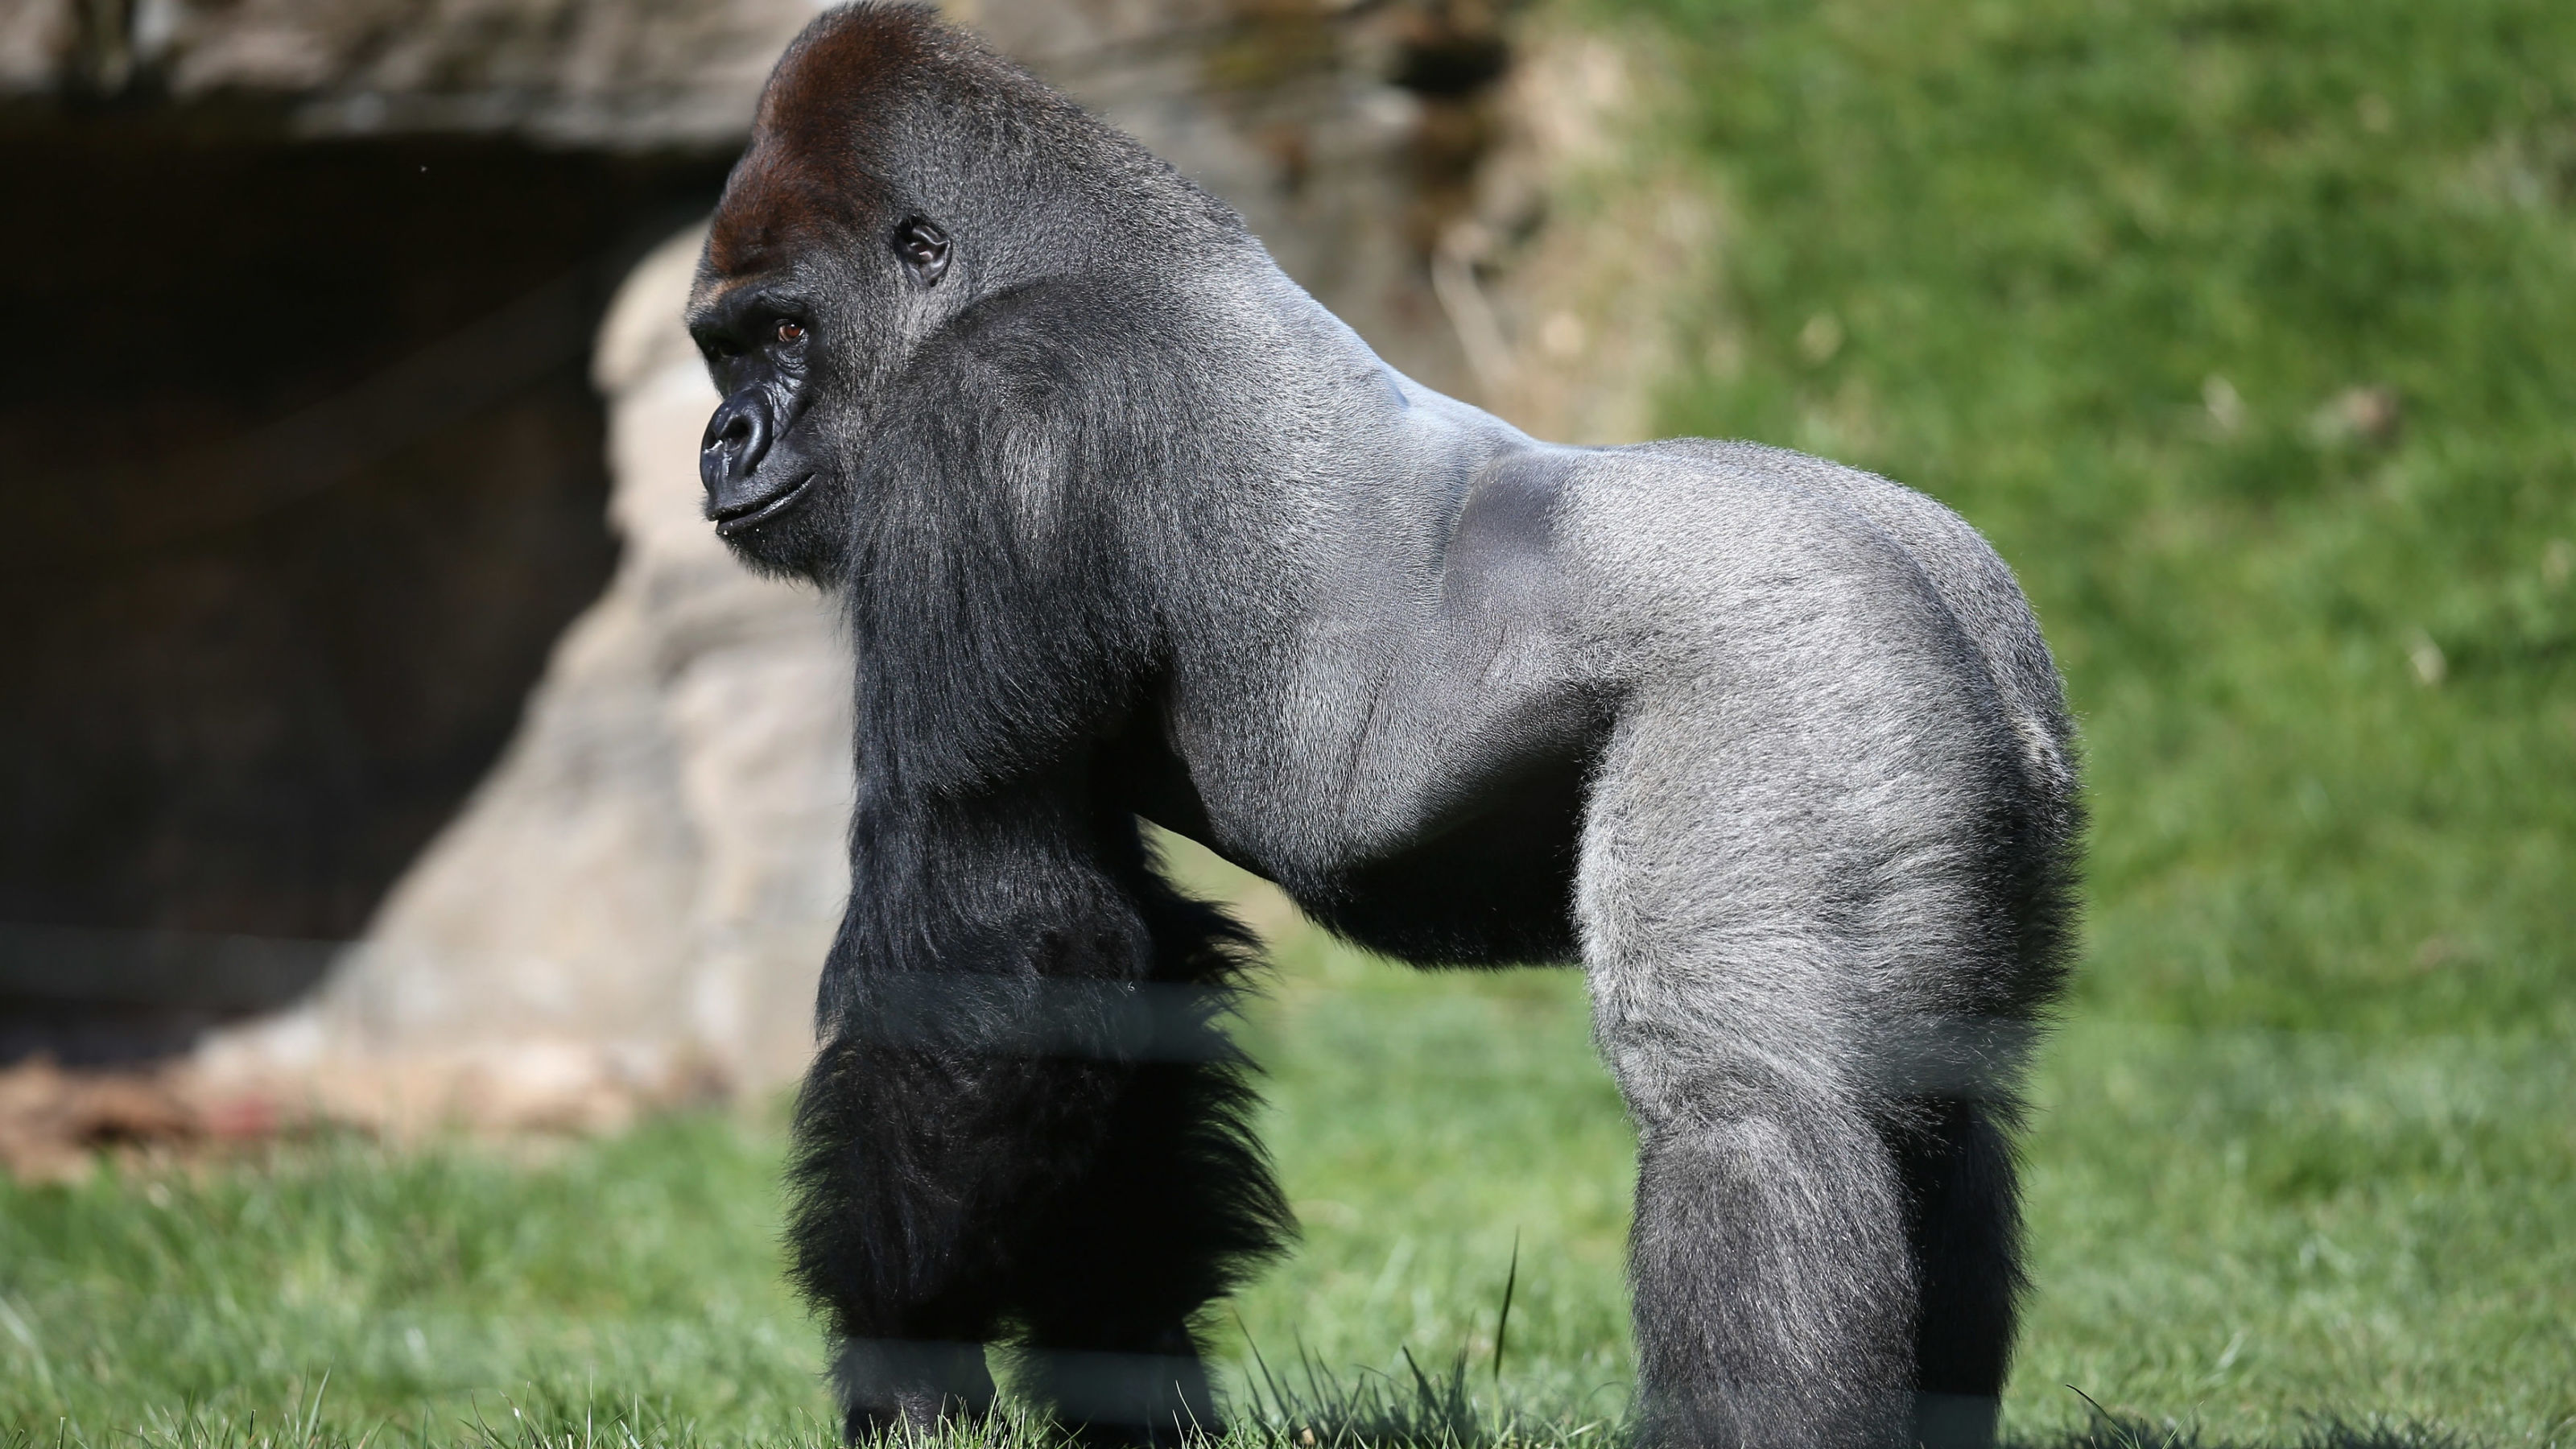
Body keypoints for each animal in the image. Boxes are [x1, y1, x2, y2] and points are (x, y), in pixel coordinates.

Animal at [685, 6, 2080, 1447]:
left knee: (1753, 1113)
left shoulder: (986, 427)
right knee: (1940, 1115)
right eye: (721, 350)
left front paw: (905, 1354)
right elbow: (1113, 963)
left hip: (1803, 678)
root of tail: (1949, 591)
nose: (723, 440)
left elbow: (1001, 924)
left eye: (783, 331)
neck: (1050, 261)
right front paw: (1126, 1378)